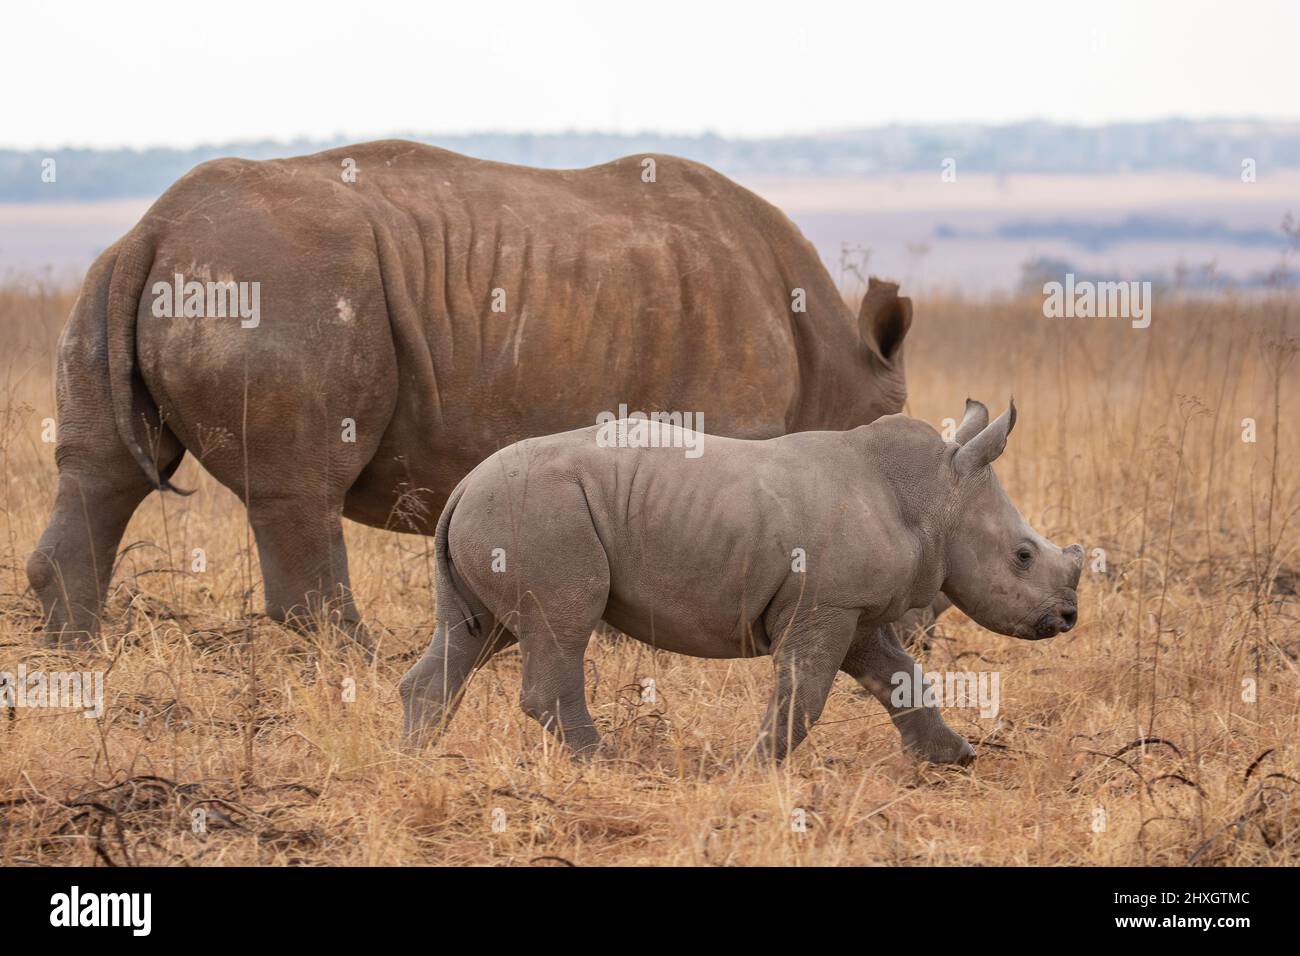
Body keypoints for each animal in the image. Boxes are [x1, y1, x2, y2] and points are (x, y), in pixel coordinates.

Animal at [26, 141, 916, 648]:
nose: (914, 614)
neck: (837, 364)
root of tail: (155, 227)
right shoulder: (733, 429)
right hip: (277, 283)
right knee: (302, 488)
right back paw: (354, 663)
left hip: (128, 275)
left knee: (99, 473)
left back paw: (78, 655)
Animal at [400, 399, 1083, 763]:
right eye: (1023, 556)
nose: (1069, 618)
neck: (936, 498)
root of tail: (464, 485)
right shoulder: (827, 602)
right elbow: (805, 693)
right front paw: (751, 771)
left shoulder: (854, 609)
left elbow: (900, 677)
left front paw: (955, 758)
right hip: (541, 515)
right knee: (558, 629)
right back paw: (609, 765)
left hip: (504, 514)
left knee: (476, 634)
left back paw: (414, 757)